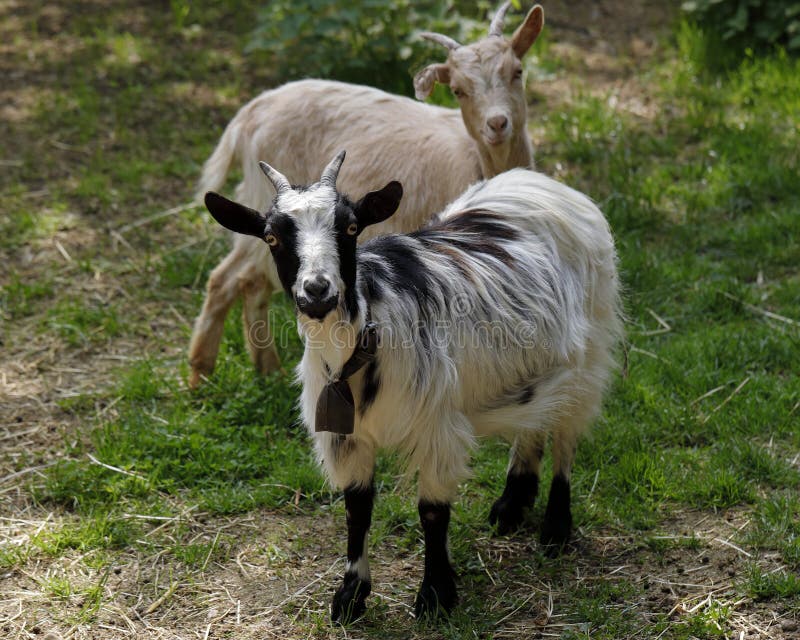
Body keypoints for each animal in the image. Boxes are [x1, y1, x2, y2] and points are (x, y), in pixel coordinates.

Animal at [188, 2, 546, 388]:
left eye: (517, 72)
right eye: (457, 90)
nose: (497, 124)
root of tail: (248, 114)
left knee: (250, 280)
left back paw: (266, 369)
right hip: (262, 200)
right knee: (226, 278)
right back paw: (200, 375)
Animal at [203, 151, 623, 621]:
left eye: (351, 227)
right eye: (272, 236)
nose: (317, 291)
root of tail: (540, 182)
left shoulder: (437, 426)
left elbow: (432, 513)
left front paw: (436, 595)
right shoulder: (346, 438)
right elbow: (357, 510)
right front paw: (351, 596)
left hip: (590, 352)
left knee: (567, 433)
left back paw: (555, 527)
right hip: (534, 365)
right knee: (536, 421)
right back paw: (512, 505)